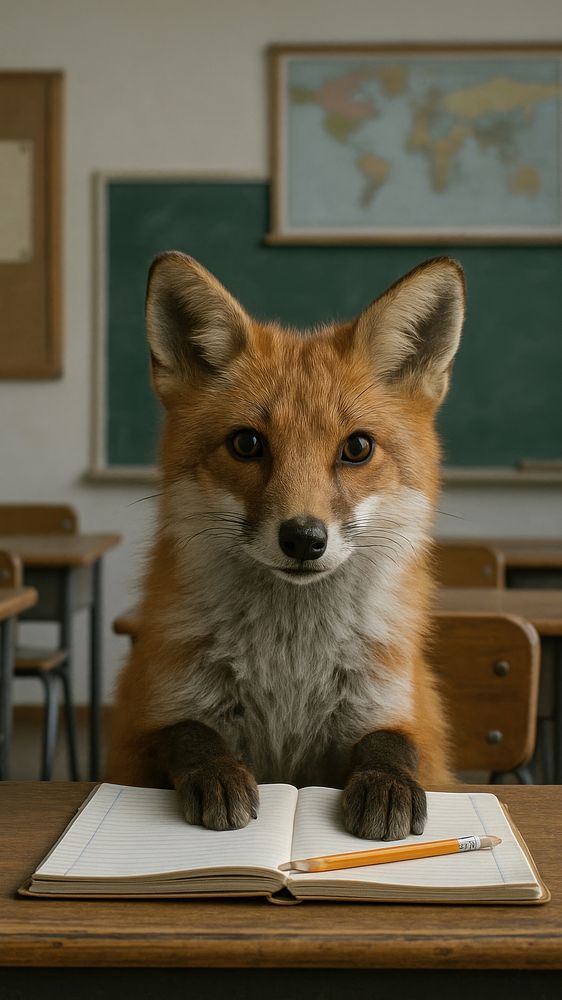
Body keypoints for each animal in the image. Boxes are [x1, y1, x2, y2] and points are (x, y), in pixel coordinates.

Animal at [106, 251, 466, 841]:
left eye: (357, 448)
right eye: (247, 443)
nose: (303, 538)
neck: (291, 671)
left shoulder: (402, 713)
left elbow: (391, 744)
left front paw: (386, 784)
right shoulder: (144, 723)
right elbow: (187, 734)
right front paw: (218, 772)